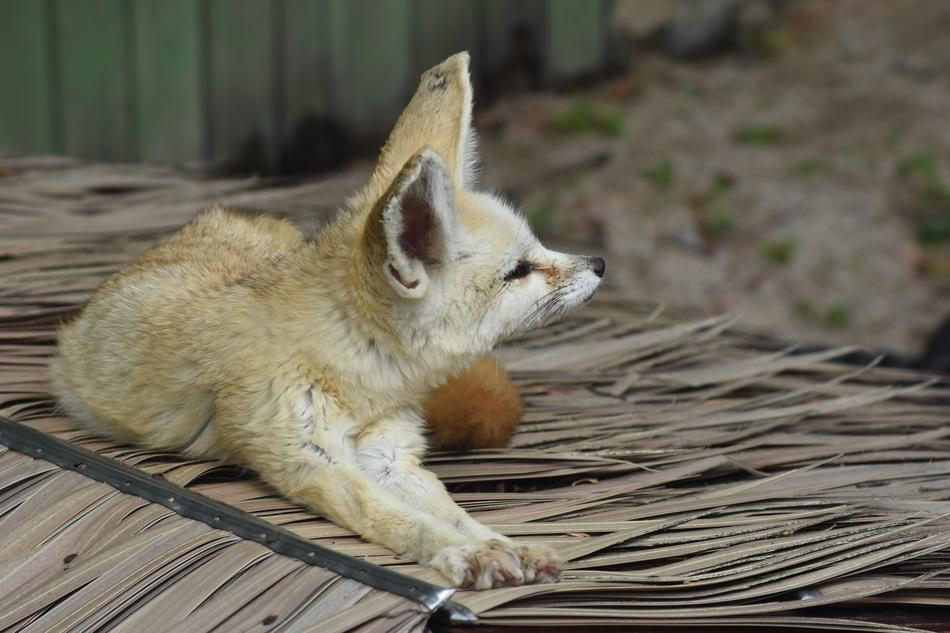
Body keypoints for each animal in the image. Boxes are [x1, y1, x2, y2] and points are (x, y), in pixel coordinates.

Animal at [50, 52, 605, 589]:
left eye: (536, 249)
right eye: (520, 271)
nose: (599, 263)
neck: (361, 379)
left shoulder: (390, 458)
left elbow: (453, 513)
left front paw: (503, 544)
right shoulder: (310, 459)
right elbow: (398, 519)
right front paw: (466, 553)